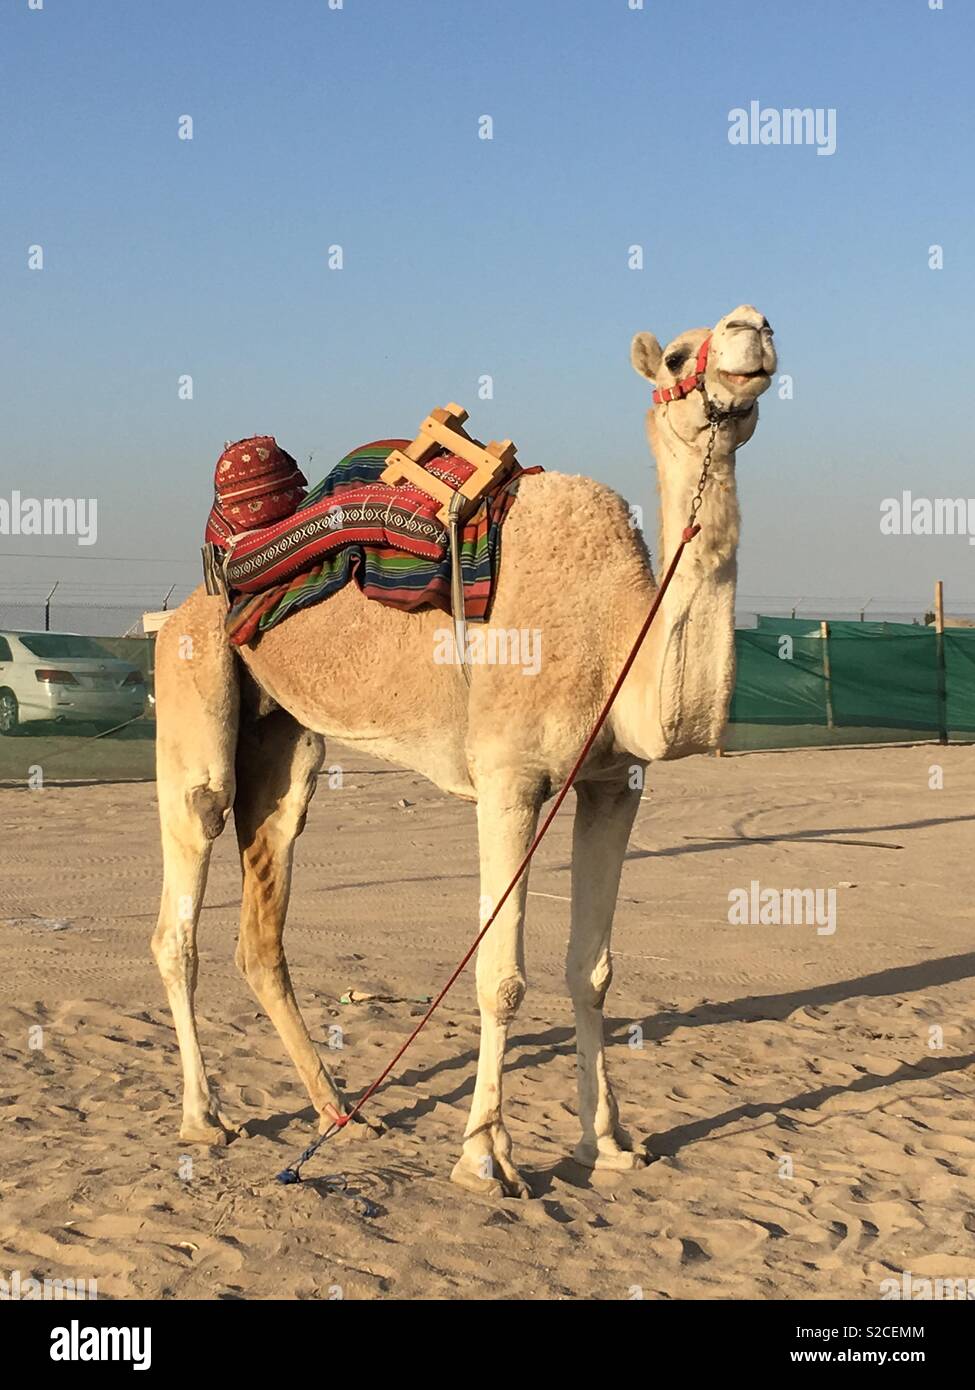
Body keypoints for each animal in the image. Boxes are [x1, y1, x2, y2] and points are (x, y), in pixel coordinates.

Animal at [151, 304, 776, 1197]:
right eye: (682, 354)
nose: (751, 327)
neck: (613, 628)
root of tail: (199, 587)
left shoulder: (613, 780)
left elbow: (591, 971)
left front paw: (609, 1144)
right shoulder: (510, 778)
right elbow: (500, 978)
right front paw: (486, 1157)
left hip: (285, 736)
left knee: (264, 916)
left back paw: (338, 1113)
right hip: (191, 676)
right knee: (187, 876)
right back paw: (204, 1120)